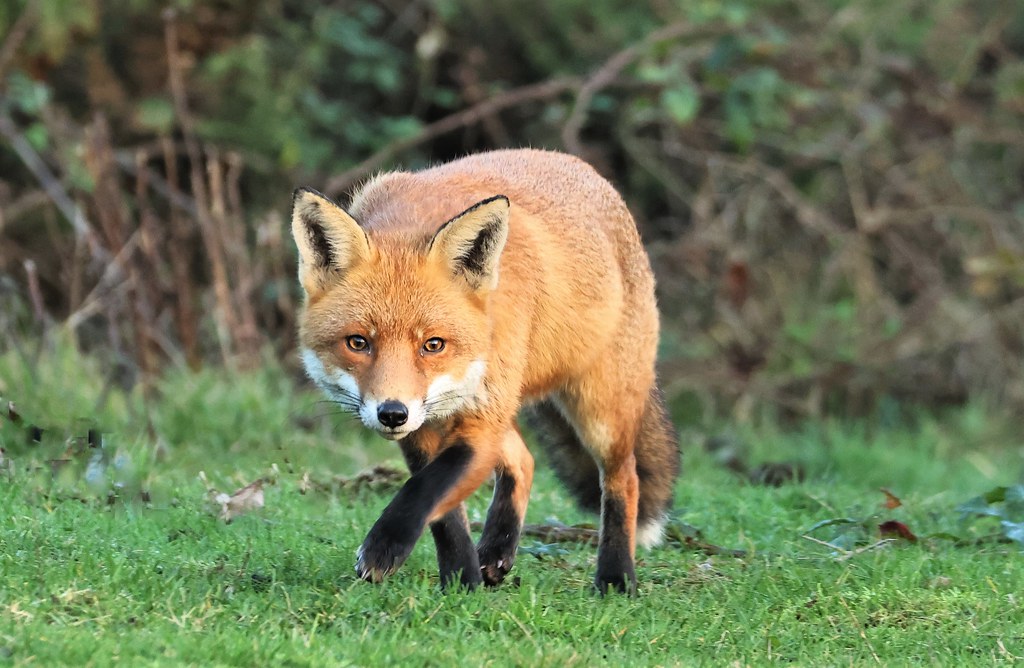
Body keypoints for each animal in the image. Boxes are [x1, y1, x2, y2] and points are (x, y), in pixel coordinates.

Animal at [291, 148, 679, 594]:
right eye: (358, 343)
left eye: (433, 345)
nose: (392, 414)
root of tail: (584, 169)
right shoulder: (427, 427)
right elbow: (443, 512)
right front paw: (461, 579)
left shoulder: (472, 421)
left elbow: (423, 489)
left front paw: (384, 547)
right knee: (524, 461)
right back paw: (496, 552)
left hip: (598, 412)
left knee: (624, 478)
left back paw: (616, 576)